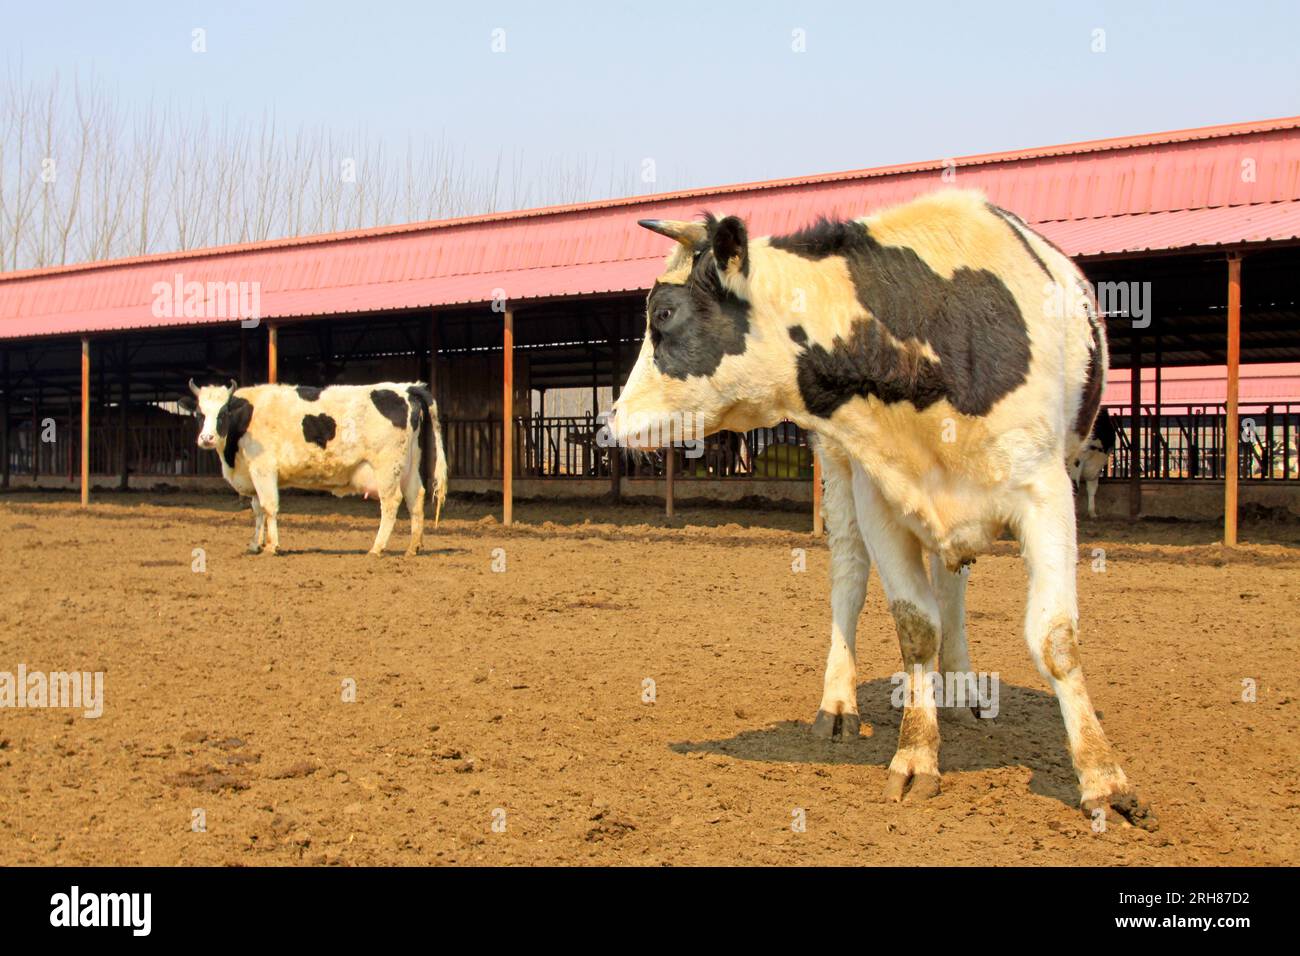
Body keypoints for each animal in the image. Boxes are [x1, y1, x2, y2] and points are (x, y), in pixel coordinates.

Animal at [189, 380, 447, 556]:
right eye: (199, 414)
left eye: (223, 413)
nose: (207, 438)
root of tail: (406, 388)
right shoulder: (253, 474)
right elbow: (257, 509)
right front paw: (255, 544)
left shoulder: (264, 469)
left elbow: (269, 507)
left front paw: (272, 546)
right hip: (409, 466)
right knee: (416, 498)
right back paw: (413, 547)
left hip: (387, 467)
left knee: (391, 503)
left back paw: (376, 548)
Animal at [609, 190, 1153, 828]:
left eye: (664, 314)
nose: (612, 418)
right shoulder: (879, 499)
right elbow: (915, 627)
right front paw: (916, 756)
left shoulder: (1046, 491)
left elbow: (1054, 638)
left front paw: (1104, 780)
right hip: (840, 474)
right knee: (849, 579)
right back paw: (839, 703)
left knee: (953, 584)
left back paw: (962, 687)